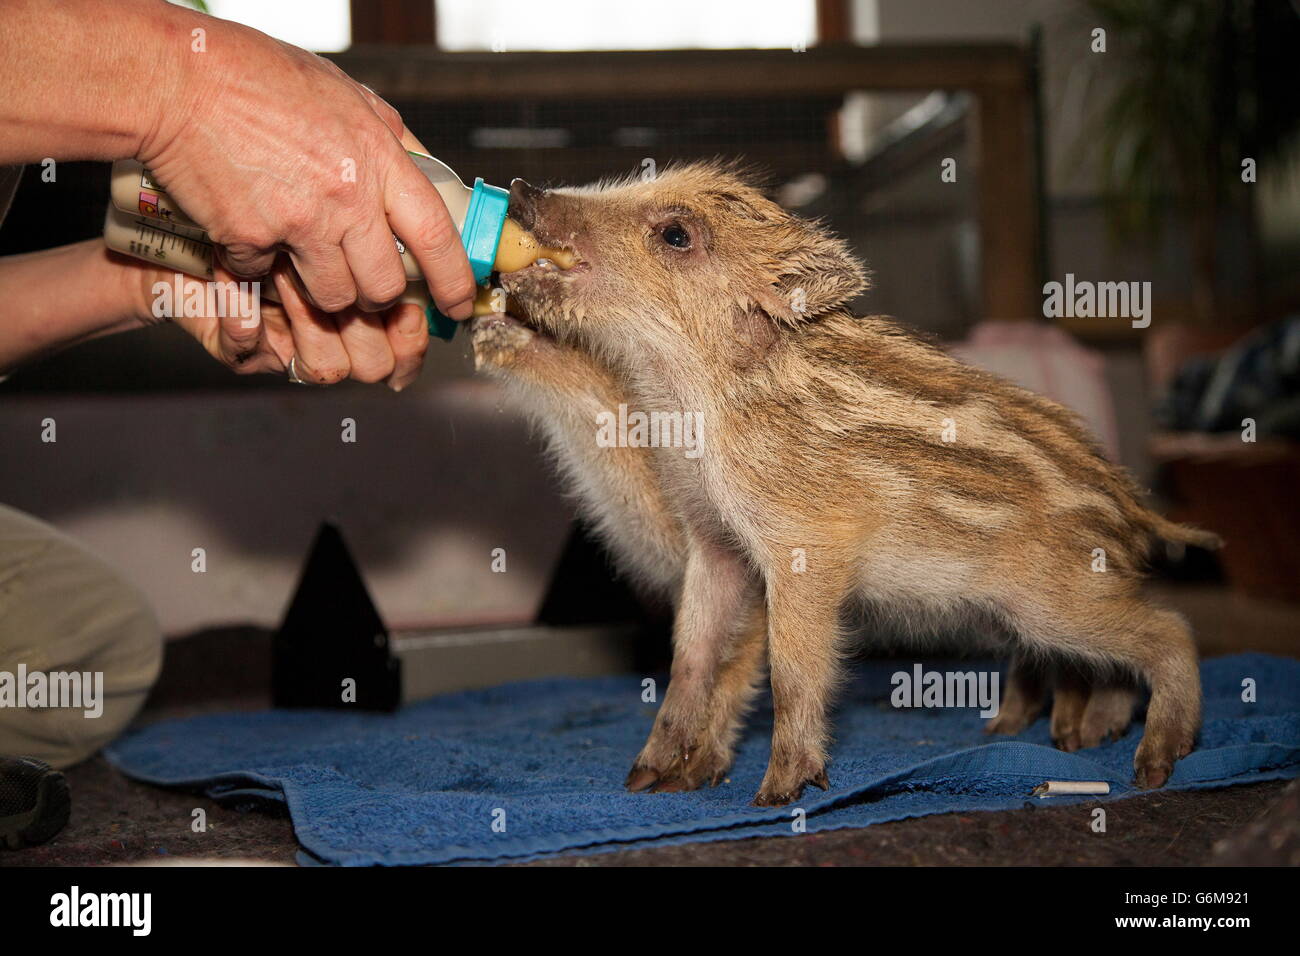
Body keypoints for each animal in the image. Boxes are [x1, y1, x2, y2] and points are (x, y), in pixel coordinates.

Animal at [468, 162, 1221, 806]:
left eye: (676, 234)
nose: (522, 188)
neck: (698, 398)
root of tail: (1131, 509)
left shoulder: (805, 548)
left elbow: (792, 668)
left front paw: (776, 793)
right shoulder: (715, 544)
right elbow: (691, 656)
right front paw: (649, 776)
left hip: (1055, 597)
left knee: (1170, 627)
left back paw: (1153, 763)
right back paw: (1055, 735)